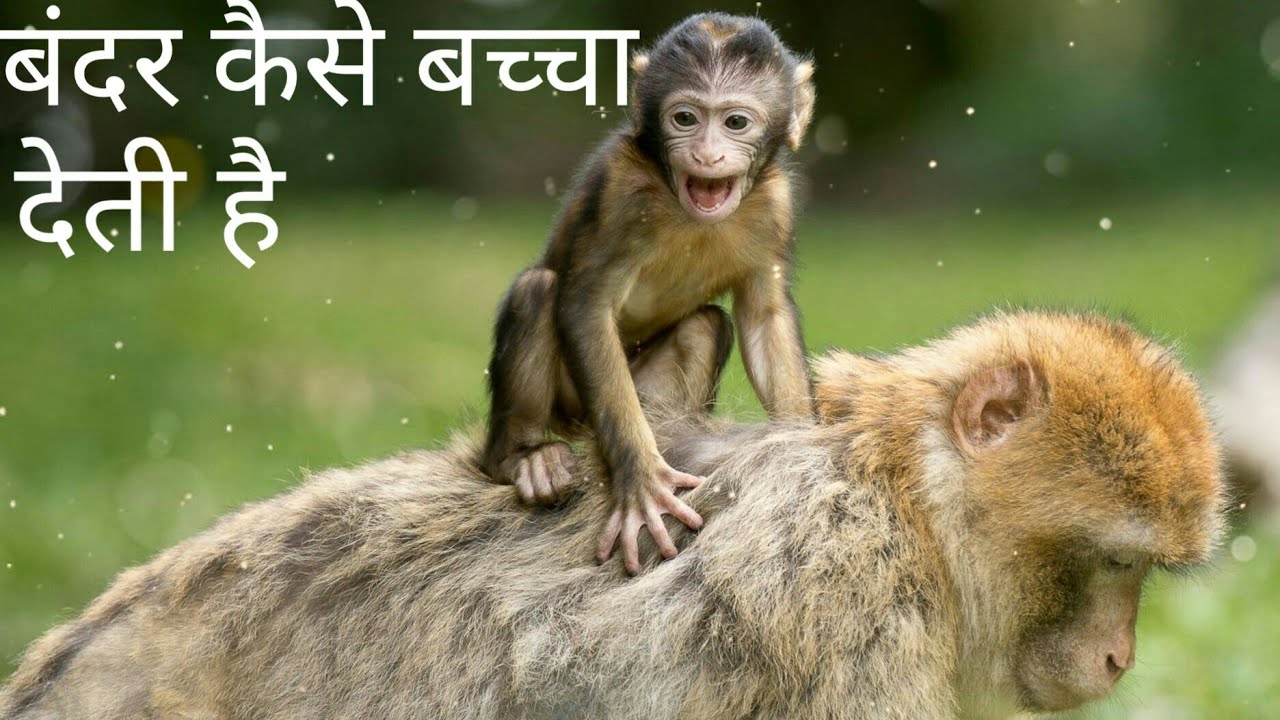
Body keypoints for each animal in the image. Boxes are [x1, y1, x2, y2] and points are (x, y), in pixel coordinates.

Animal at [482, 13, 817, 573]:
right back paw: (523, 459)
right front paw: (641, 483)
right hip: (571, 407)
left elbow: (763, 316)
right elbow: (586, 306)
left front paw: (800, 452)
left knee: (706, 326)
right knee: (538, 291)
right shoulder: (621, 189)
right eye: (685, 118)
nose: (706, 154)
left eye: (735, 123)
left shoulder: (776, 203)